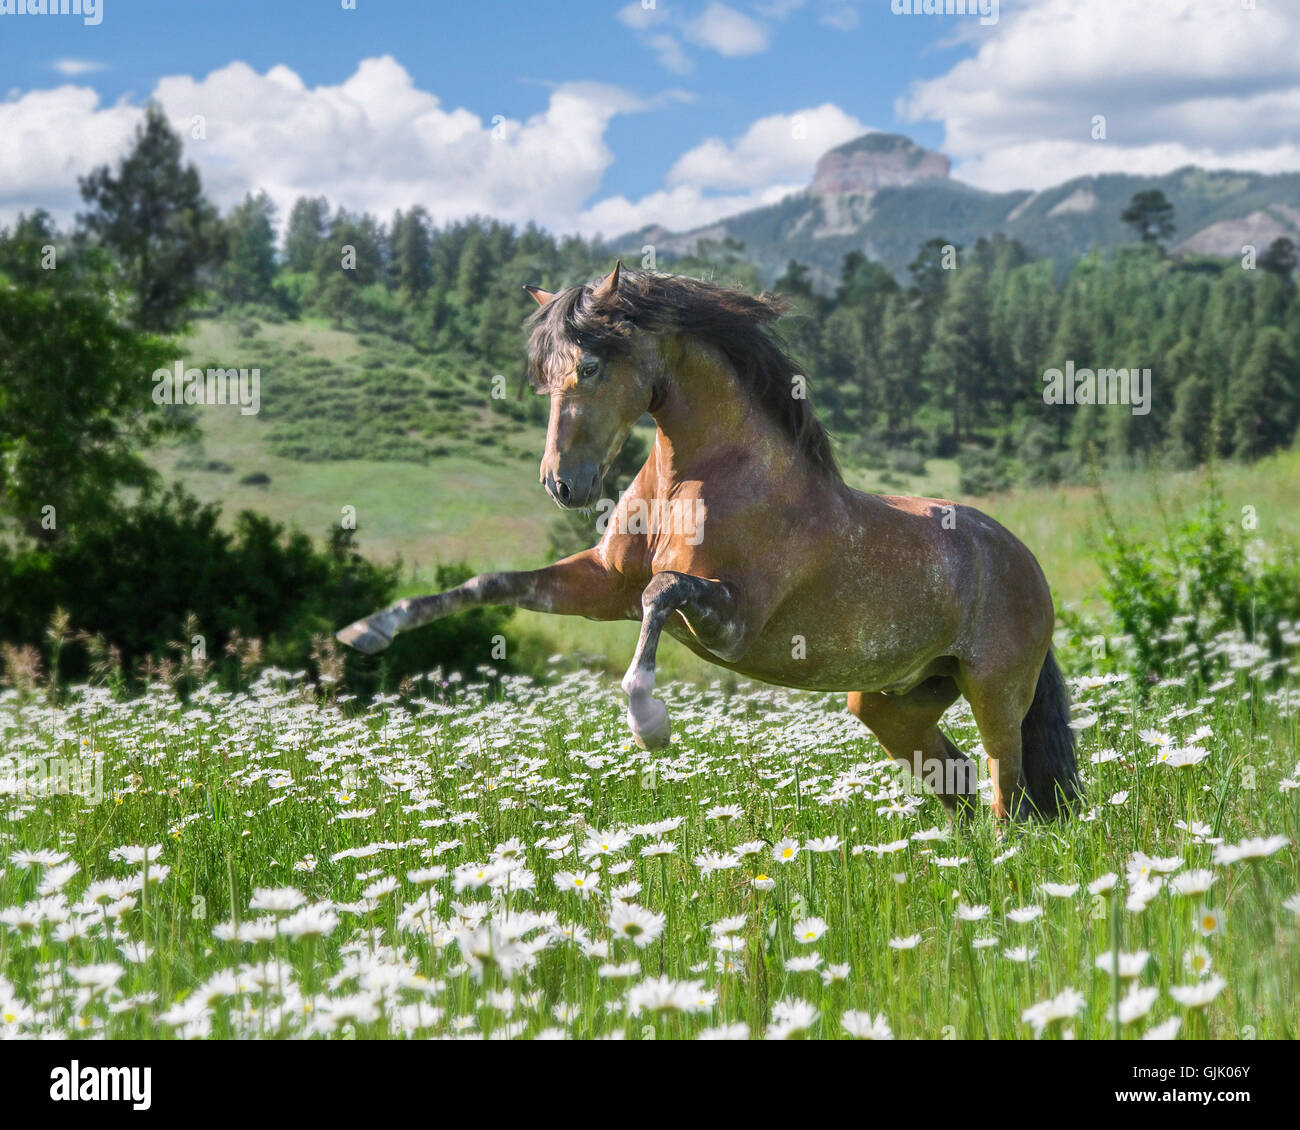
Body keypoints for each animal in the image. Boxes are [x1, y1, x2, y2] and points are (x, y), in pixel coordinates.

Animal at [337, 264, 1080, 821]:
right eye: (543, 376)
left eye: (590, 366)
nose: (562, 484)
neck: (697, 477)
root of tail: (1023, 560)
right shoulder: (604, 585)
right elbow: (490, 583)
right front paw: (369, 629)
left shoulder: (732, 622)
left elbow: (664, 593)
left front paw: (649, 724)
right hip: (893, 699)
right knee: (958, 782)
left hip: (995, 693)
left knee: (1008, 796)